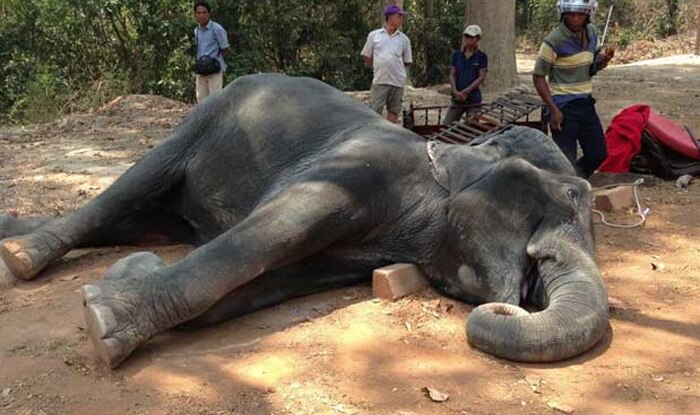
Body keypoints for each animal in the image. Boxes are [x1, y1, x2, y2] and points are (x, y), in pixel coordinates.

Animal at [0, 74, 608, 368]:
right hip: (204, 116)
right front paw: (101, 323)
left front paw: (130, 275)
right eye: (568, 195)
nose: (514, 302)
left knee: (139, 217)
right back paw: (22, 256)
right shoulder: (353, 170)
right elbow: (267, 234)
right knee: (127, 191)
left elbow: (263, 283)